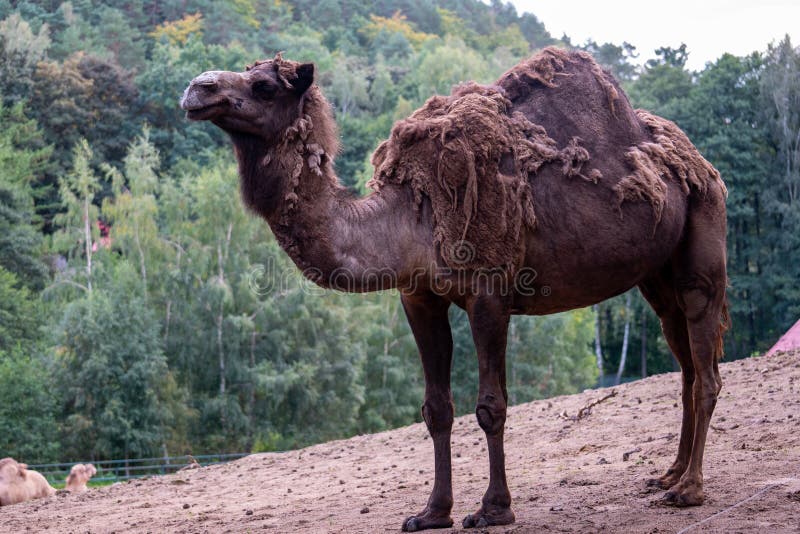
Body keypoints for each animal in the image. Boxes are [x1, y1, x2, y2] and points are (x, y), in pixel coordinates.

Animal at [181, 47, 729, 530]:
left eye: (264, 85)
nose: (197, 88)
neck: (410, 215)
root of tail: (698, 162)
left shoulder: (490, 292)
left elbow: (490, 406)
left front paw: (492, 510)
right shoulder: (418, 297)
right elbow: (436, 409)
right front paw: (431, 513)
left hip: (704, 244)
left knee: (705, 367)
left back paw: (689, 490)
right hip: (656, 276)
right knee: (684, 364)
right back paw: (668, 475)